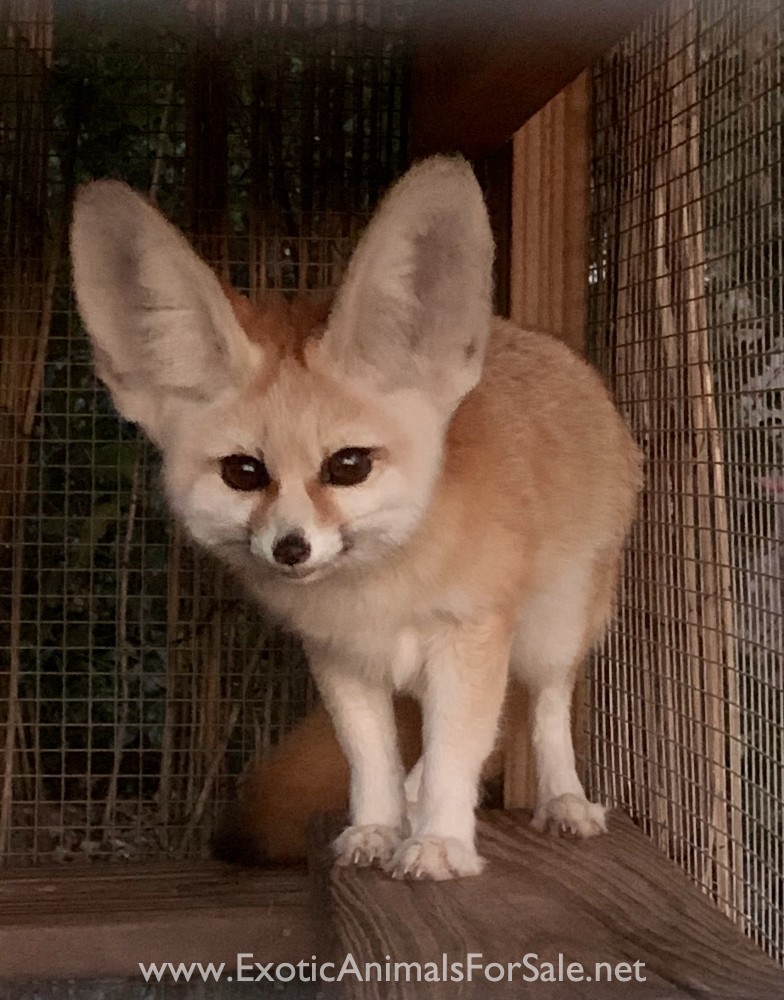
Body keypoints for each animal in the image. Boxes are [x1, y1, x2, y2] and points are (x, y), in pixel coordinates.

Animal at [70, 156, 641, 881]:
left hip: (552, 634)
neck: (378, 593)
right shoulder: (342, 661)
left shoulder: (469, 639)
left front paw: (440, 841)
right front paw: (376, 827)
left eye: (348, 466)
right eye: (243, 472)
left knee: (541, 709)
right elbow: (371, 759)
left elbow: (458, 753)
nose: (290, 548)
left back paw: (564, 801)